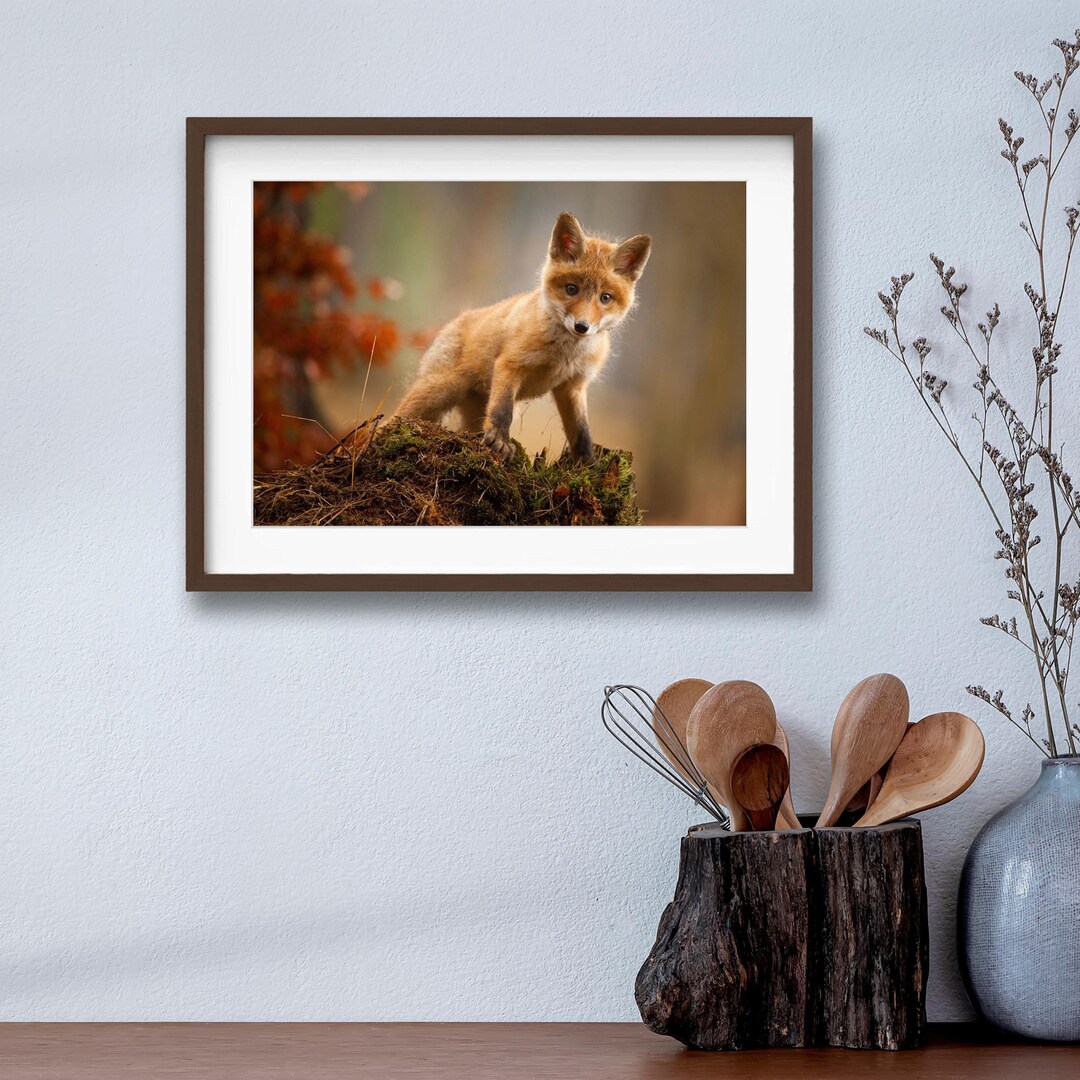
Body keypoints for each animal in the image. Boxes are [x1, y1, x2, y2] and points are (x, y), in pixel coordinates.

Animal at [395, 211, 651, 464]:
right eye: (571, 289)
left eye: (605, 298)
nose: (581, 326)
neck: (564, 354)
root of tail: (455, 321)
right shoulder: (510, 365)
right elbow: (502, 411)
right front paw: (500, 441)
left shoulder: (573, 386)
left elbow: (581, 433)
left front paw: (588, 465)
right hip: (438, 391)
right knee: (395, 418)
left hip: (471, 412)